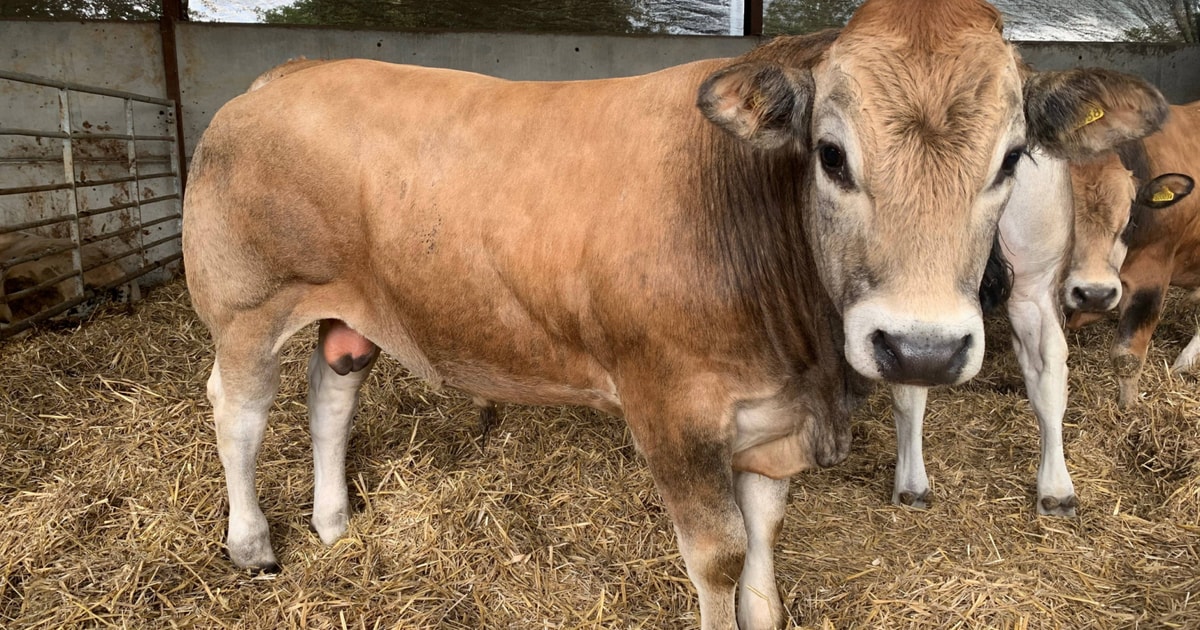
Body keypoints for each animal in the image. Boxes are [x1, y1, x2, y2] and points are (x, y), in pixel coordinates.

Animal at [182, 1, 1170, 627]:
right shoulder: (670, 409)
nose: (920, 349)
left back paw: (334, 523)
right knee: (238, 413)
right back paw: (253, 543)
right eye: (830, 154)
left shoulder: (768, 425)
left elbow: (764, 543)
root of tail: (287, 72)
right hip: (246, 305)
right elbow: (721, 558)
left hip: (348, 311)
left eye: (1011, 158)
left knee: (329, 397)